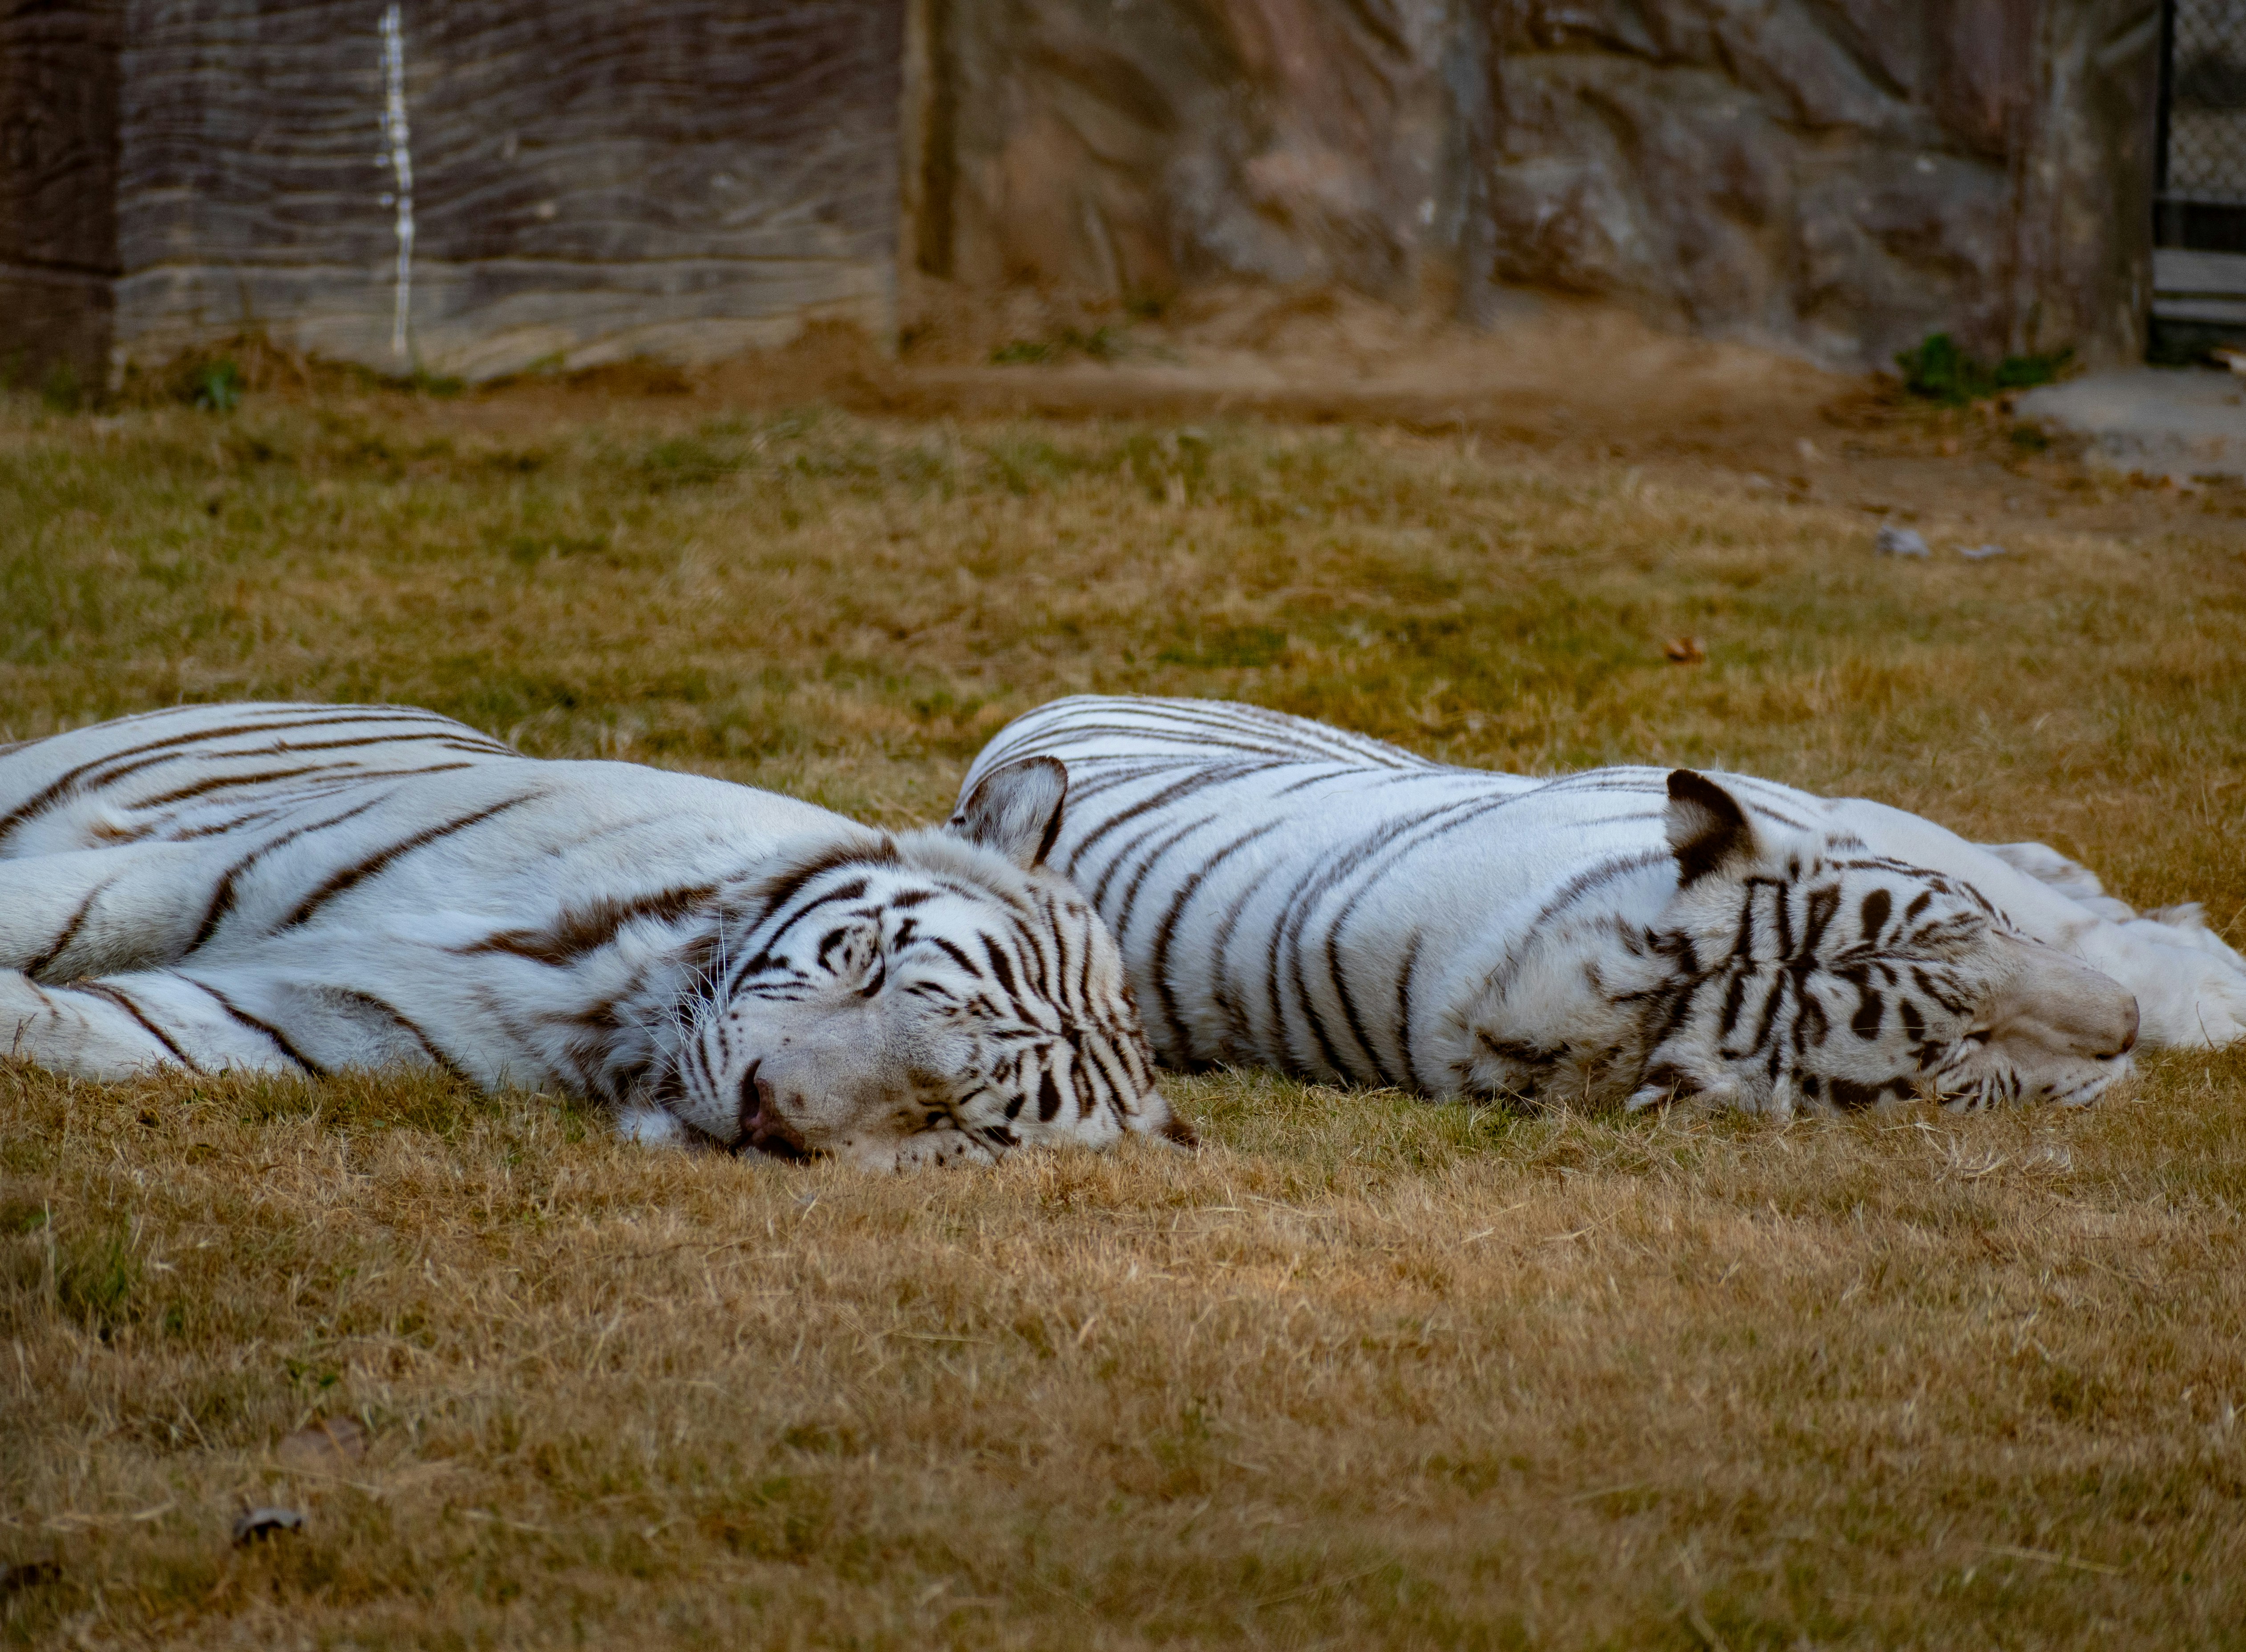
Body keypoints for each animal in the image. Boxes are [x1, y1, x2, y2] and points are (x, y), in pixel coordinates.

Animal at [0, 702, 1186, 1168]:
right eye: (868, 965)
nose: (762, 1113)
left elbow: (79, 1026)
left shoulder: (280, 1021)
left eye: (954, 1120)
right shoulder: (193, 868)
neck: (604, 991)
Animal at [959, 695, 2246, 1115]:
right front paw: (2209, 999)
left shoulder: (1843, 824)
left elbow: (2048, 908)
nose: (2122, 1032)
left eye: (1964, 937)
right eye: (1959, 1056)